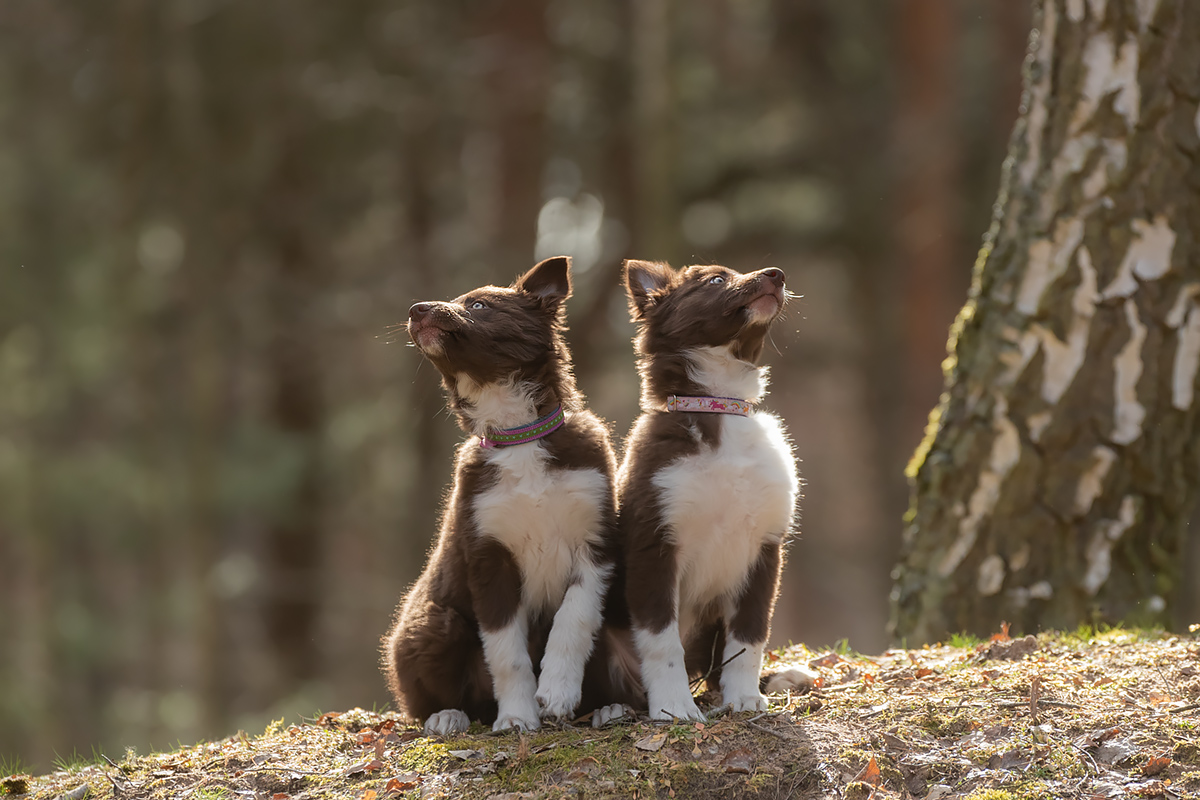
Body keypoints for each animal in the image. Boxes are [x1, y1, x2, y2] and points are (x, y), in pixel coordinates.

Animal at [609, 260, 806, 724]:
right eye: (716, 280)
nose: (778, 274)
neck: (719, 407)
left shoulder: (765, 549)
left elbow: (749, 635)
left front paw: (745, 697)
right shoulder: (654, 544)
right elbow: (661, 639)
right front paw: (674, 707)